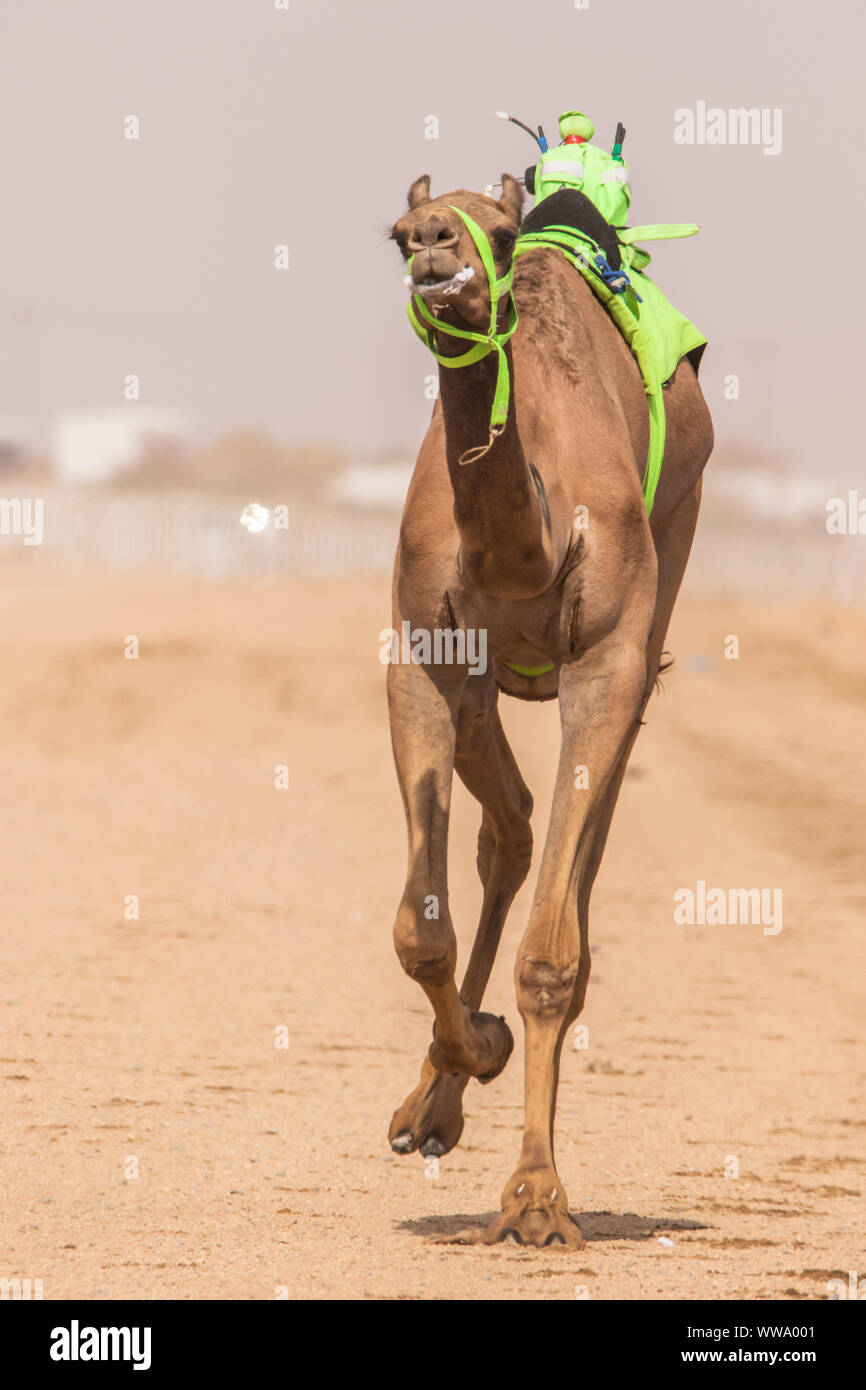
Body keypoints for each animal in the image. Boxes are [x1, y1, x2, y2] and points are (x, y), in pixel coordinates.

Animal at [385, 171, 713, 1247]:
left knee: (572, 867)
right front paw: (467, 1058)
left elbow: (553, 956)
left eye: (494, 232)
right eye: (399, 233)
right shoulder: (423, 655)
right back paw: (435, 1097)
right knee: (515, 831)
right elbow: (420, 929)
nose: (435, 248)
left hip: (667, 566)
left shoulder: (608, 663)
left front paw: (533, 1197)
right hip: (486, 688)